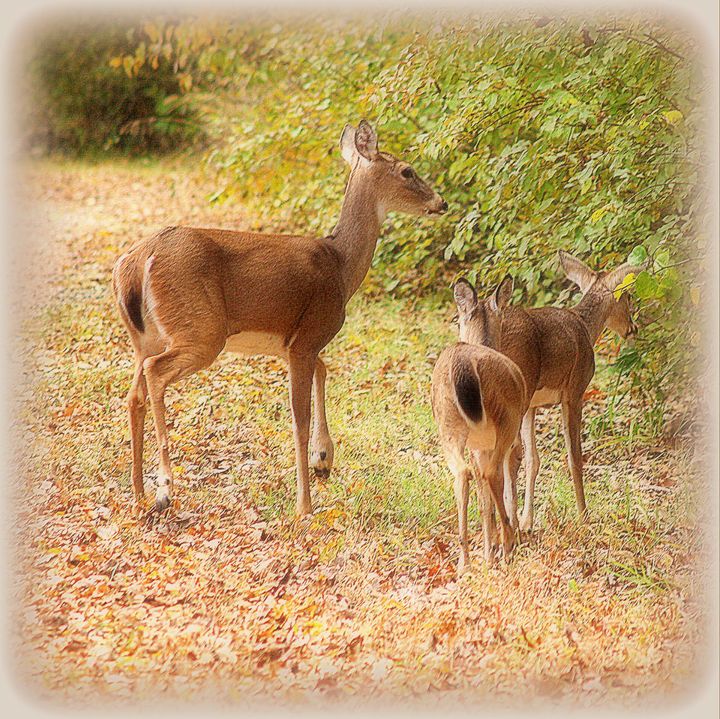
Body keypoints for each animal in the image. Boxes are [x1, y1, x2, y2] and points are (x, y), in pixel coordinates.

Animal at [112, 120, 447, 515]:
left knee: (134, 395)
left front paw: (323, 459)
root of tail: (137, 261)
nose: (441, 202)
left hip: (145, 337)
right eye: (407, 170)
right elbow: (298, 418)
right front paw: (305, 504)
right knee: (155, 374)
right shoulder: (309, 334)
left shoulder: (294, 342)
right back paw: (164, 487)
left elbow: (323, 371)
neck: (341, 266)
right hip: (202, 330)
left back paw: (138, 494)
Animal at [431, 276, 528, 572]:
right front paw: (497, 547)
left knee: (463, 474)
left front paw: (487, 551)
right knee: (492, 474)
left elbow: (484, 501)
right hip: (507, 419)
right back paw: (508, 544)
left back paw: (464, 560)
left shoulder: (478, 446)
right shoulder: (510, 439)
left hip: (448, 424)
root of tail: (464, 366)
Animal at [476, 251, 643, 532]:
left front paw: (528, 520)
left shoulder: (533, 405)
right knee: (508, 453)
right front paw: (584, 516)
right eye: (627, 296)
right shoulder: (575, 392)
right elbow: (574, 457)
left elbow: (534, 460)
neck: (585, 325)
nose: (633, 328)